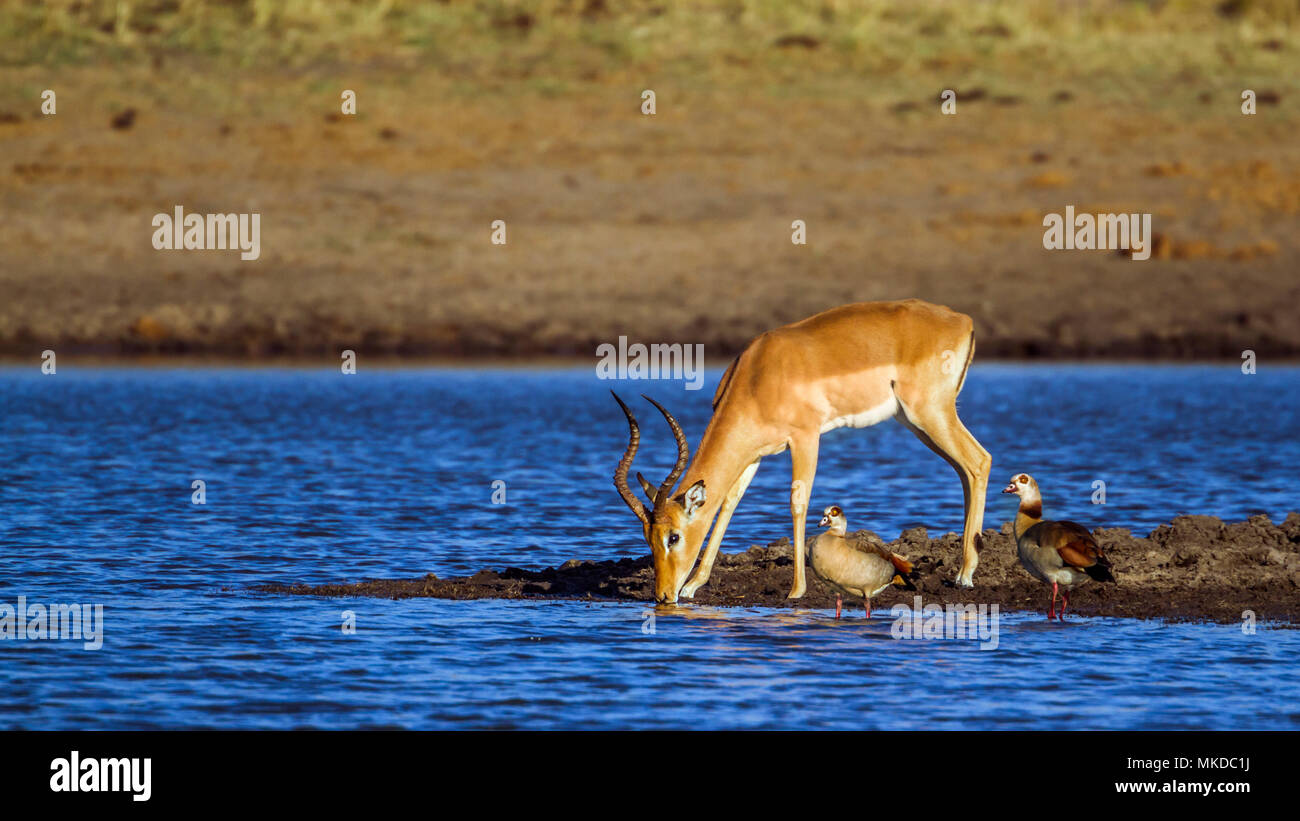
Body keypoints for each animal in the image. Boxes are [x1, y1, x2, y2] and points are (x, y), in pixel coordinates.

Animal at [612, 299, 992, 604]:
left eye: (674, 537)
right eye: (648, 539)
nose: (663, 595)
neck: (757, 376)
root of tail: (962, 320)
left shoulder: (806, 438)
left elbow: (798, 503)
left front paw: (796, 590)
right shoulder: (754, 453)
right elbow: (729, 504)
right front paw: (693, 585)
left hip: (929, 413)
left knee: (979, 460)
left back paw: (965, 575)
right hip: (916, 422)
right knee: (965, 470)